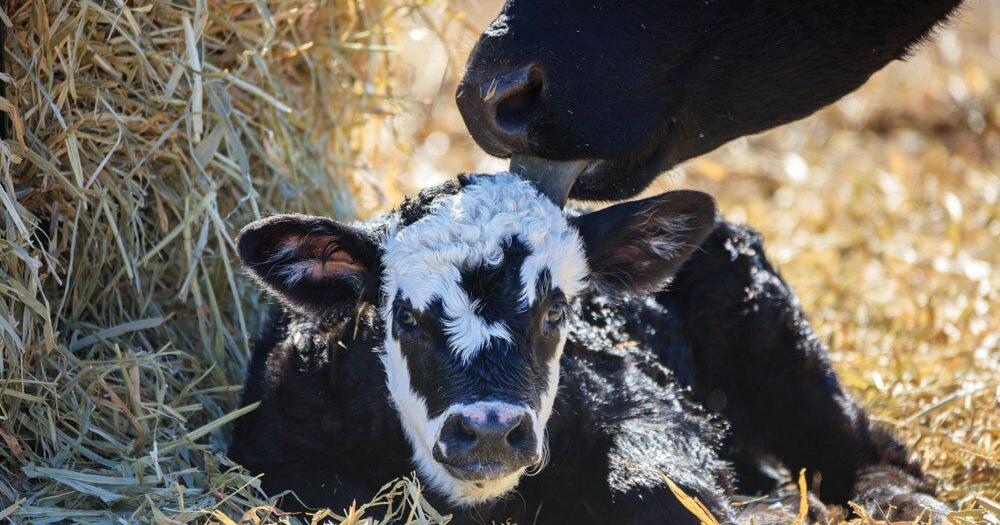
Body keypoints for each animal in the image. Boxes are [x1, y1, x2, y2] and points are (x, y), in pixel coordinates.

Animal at [229, 172, 947, 524]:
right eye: (403, 317)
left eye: (558, 310)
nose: (489, 430)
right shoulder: (280, 450)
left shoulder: (648, 405)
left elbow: (661, 489)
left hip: (776, 341)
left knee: (866, 445)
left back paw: (904, 504)